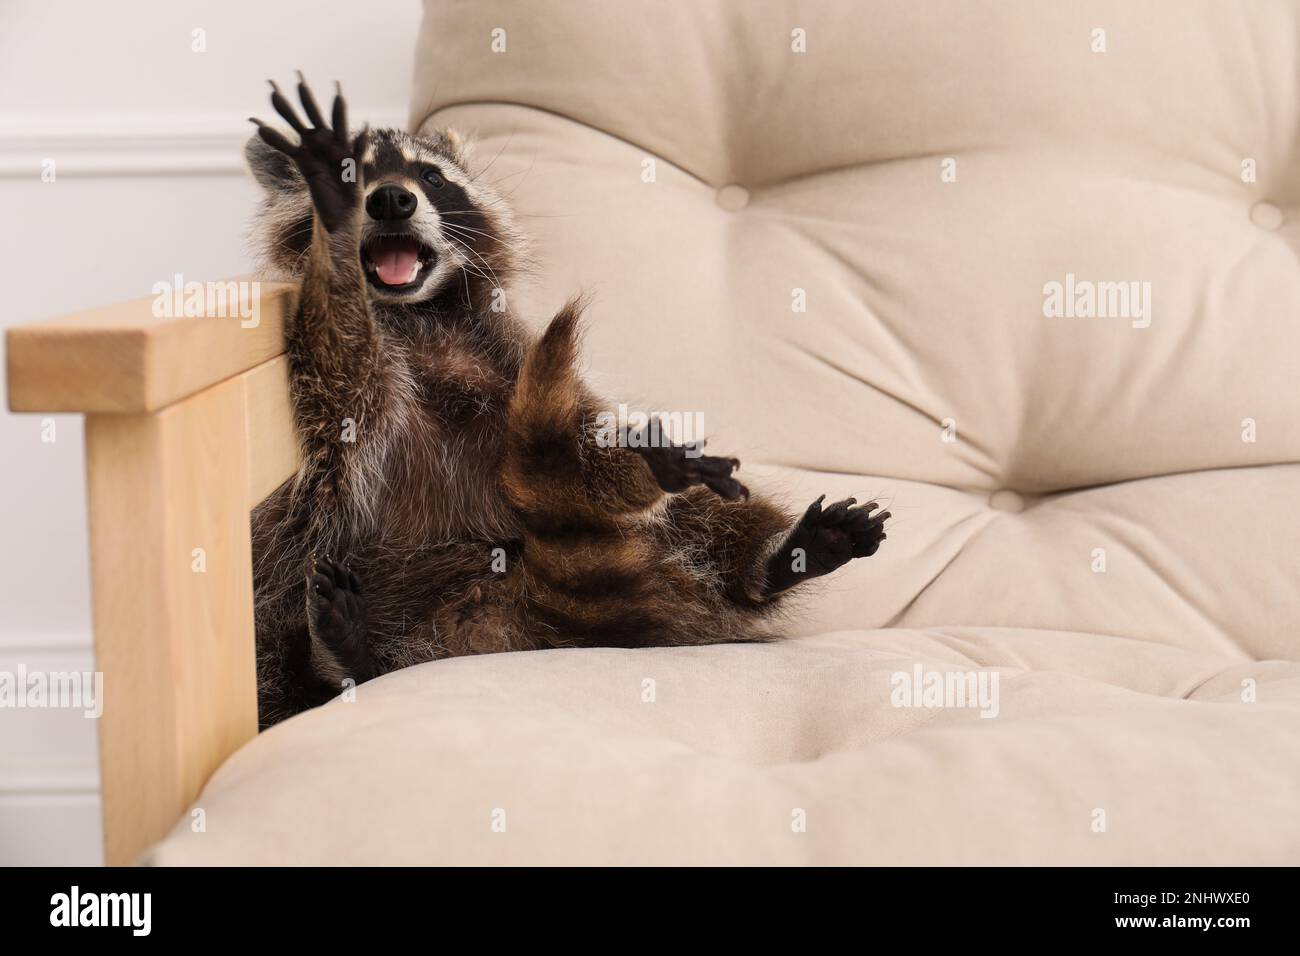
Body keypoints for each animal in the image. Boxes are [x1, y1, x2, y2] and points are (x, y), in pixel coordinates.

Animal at [246, 76, 889, 728]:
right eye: (357, 171)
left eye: (431, 177)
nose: (392, 201)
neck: (421, 315)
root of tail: (521, 616)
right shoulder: (349, 397)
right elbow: (339, 360)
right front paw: (335, 218)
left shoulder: (510, 364)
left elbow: (583, 453)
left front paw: (650, 466)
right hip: (326, 572)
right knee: (290, 618)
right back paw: (345, 658)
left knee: (704, 515)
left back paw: (773, 560)